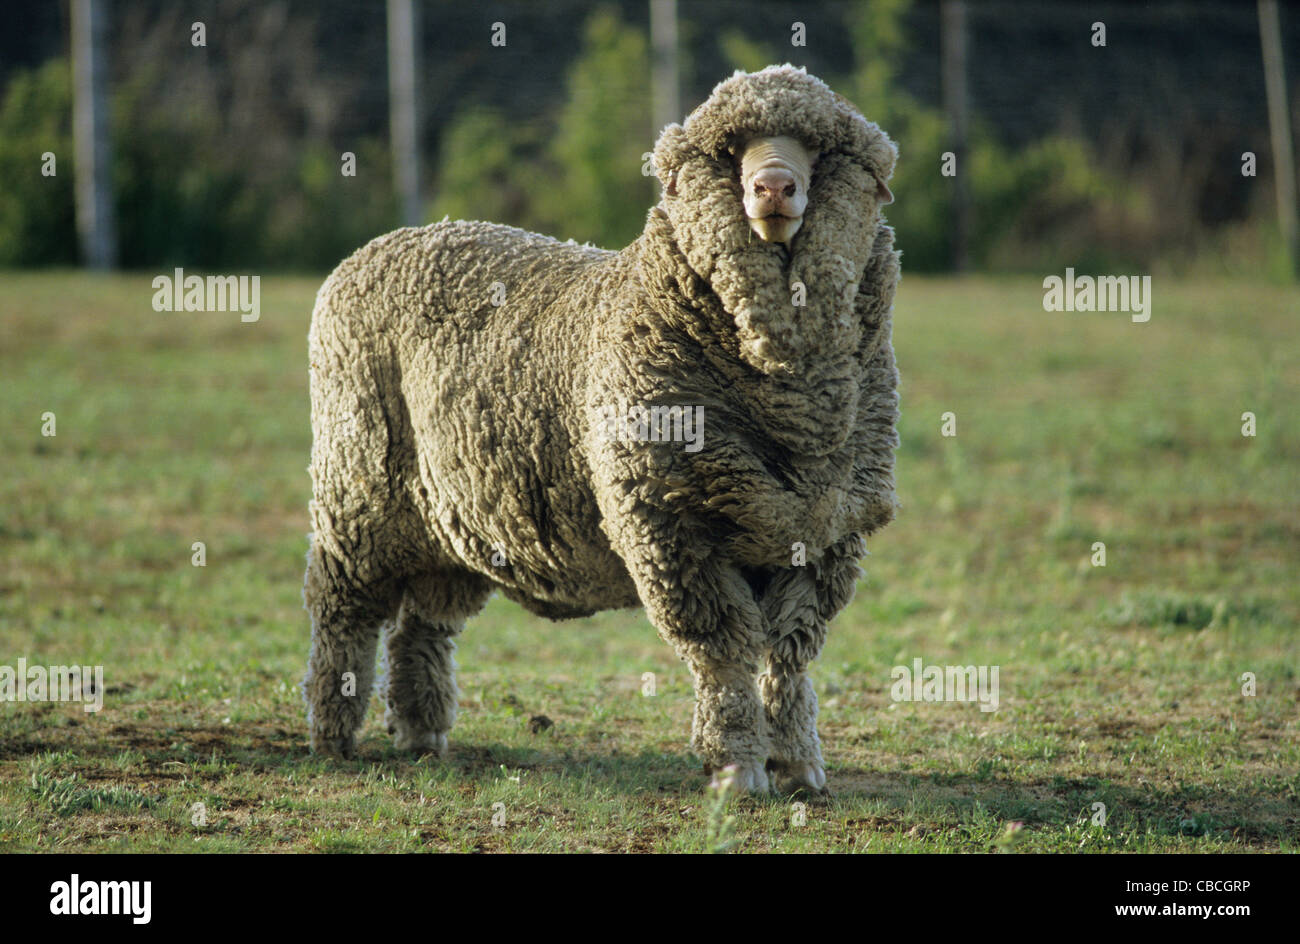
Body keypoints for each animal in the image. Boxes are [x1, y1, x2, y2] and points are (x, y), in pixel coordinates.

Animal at [302, 65, 900, 794]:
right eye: (730, 152)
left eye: (816, 148)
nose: (773, 187)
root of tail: (388, 241)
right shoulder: (672, 524)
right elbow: (726, 649)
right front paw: (737, 767)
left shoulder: (823, 534)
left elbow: (788, 655)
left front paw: (798, 766)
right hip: (357, 489)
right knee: (343, 613)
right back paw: (333, 731)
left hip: (456, 513)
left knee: (423, 624)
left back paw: (421, 733)